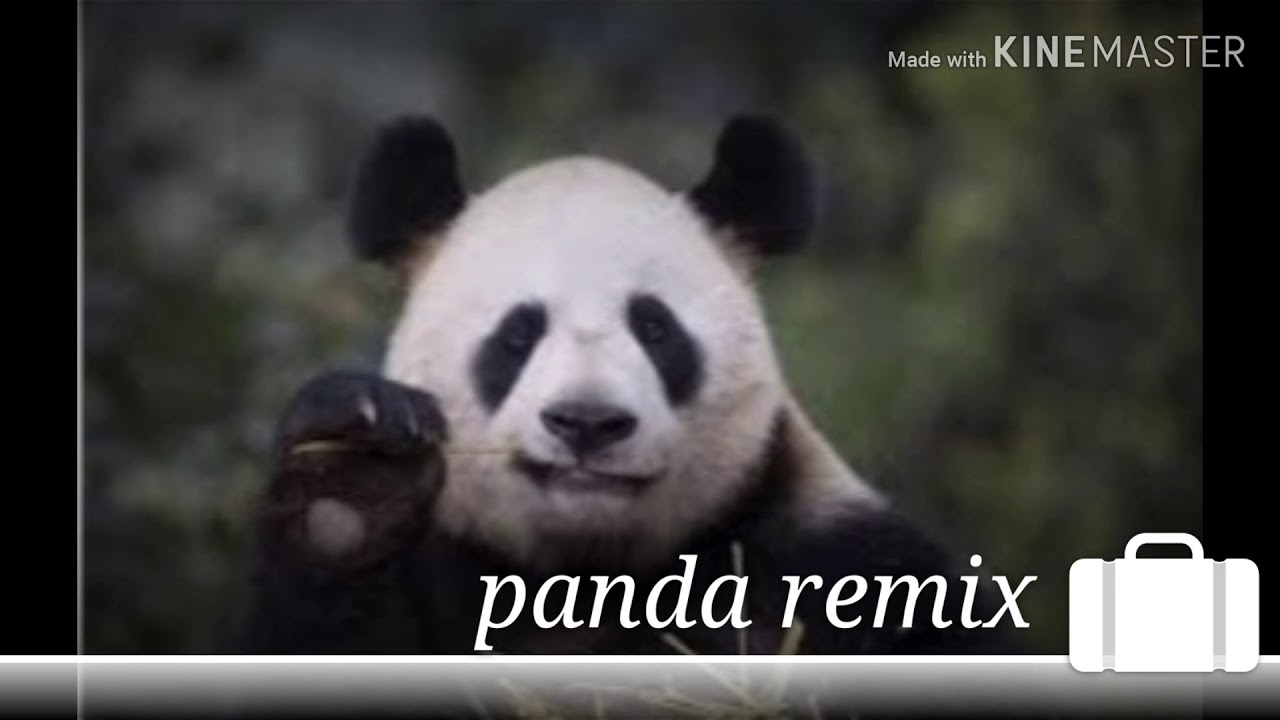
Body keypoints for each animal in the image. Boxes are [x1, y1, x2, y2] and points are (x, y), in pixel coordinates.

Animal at [242, 114, 1021, 657]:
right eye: (518, 334)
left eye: (655, 328)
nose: (588, 423)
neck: (587, 575)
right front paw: (352, 486)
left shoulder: (842, 567)